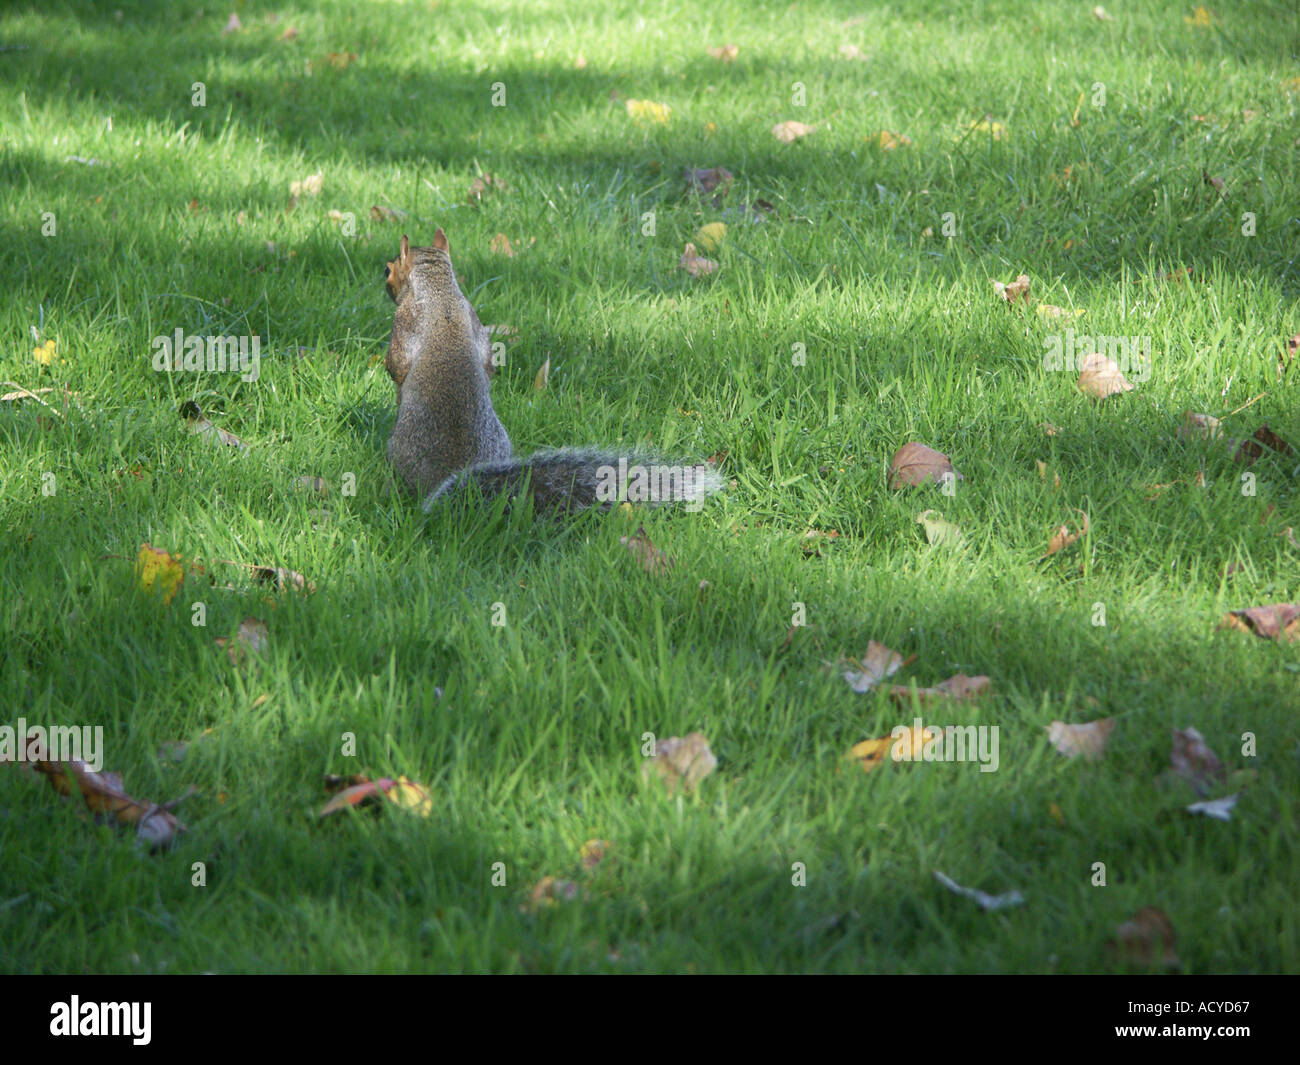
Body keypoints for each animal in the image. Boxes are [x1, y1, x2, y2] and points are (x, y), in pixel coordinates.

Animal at [381, 230, 724, 516]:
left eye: (388, 269)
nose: (385, 282)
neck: (439, 291)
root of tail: (454, 474)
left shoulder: (405, 322)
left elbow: (397, 363)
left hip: (401, 446)